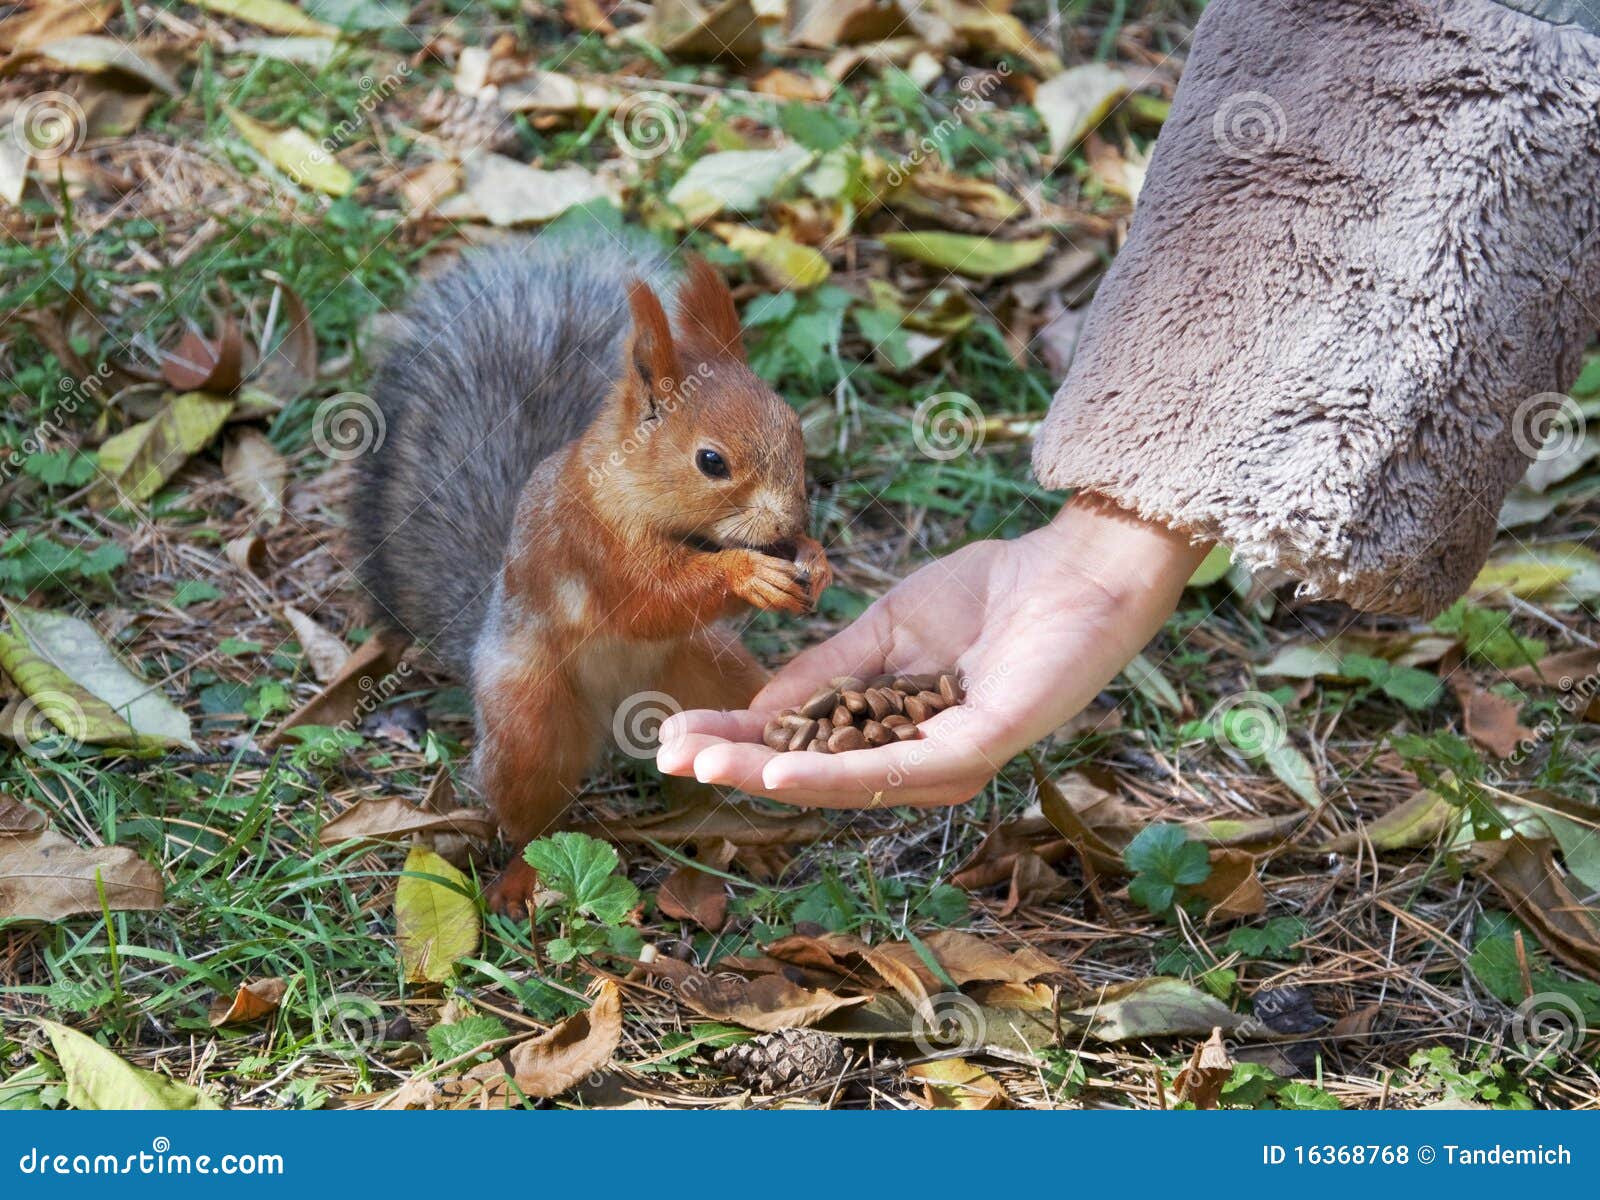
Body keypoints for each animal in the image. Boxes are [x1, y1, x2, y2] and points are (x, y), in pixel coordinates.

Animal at [347, 228, 831, 916]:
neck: (632, 491)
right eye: (711, 461)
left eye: (793, 426)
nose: (791, 523)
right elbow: (652, 600)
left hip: (710, 676)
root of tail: (618, 713)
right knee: (530, 818)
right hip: (529, 715)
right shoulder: (591, 548)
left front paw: (815, 558)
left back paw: (742, 836)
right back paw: (520, 879)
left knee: (702, 777)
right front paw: (746, 573)